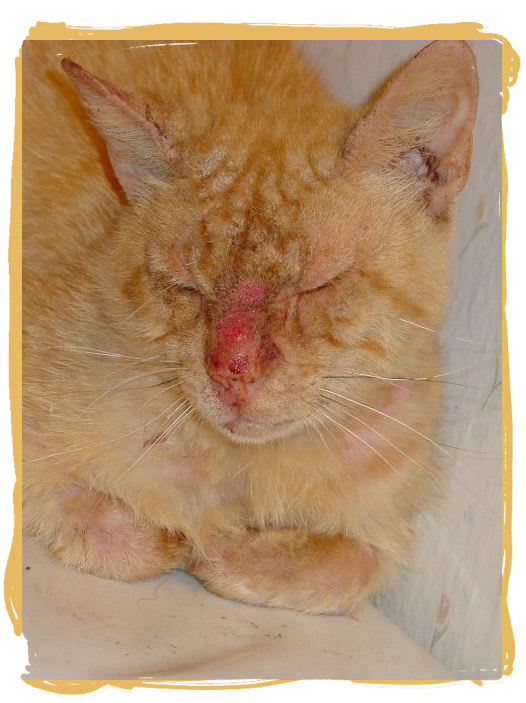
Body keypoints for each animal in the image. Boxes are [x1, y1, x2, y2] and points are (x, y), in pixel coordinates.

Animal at [22, 39, 478, 614]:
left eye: (317, 285)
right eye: (187, 286)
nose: (231, 370)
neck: (248, 468)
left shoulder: (381, 533)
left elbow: (347, 567)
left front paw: (237, 555)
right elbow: (125, 532)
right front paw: (185, 539)